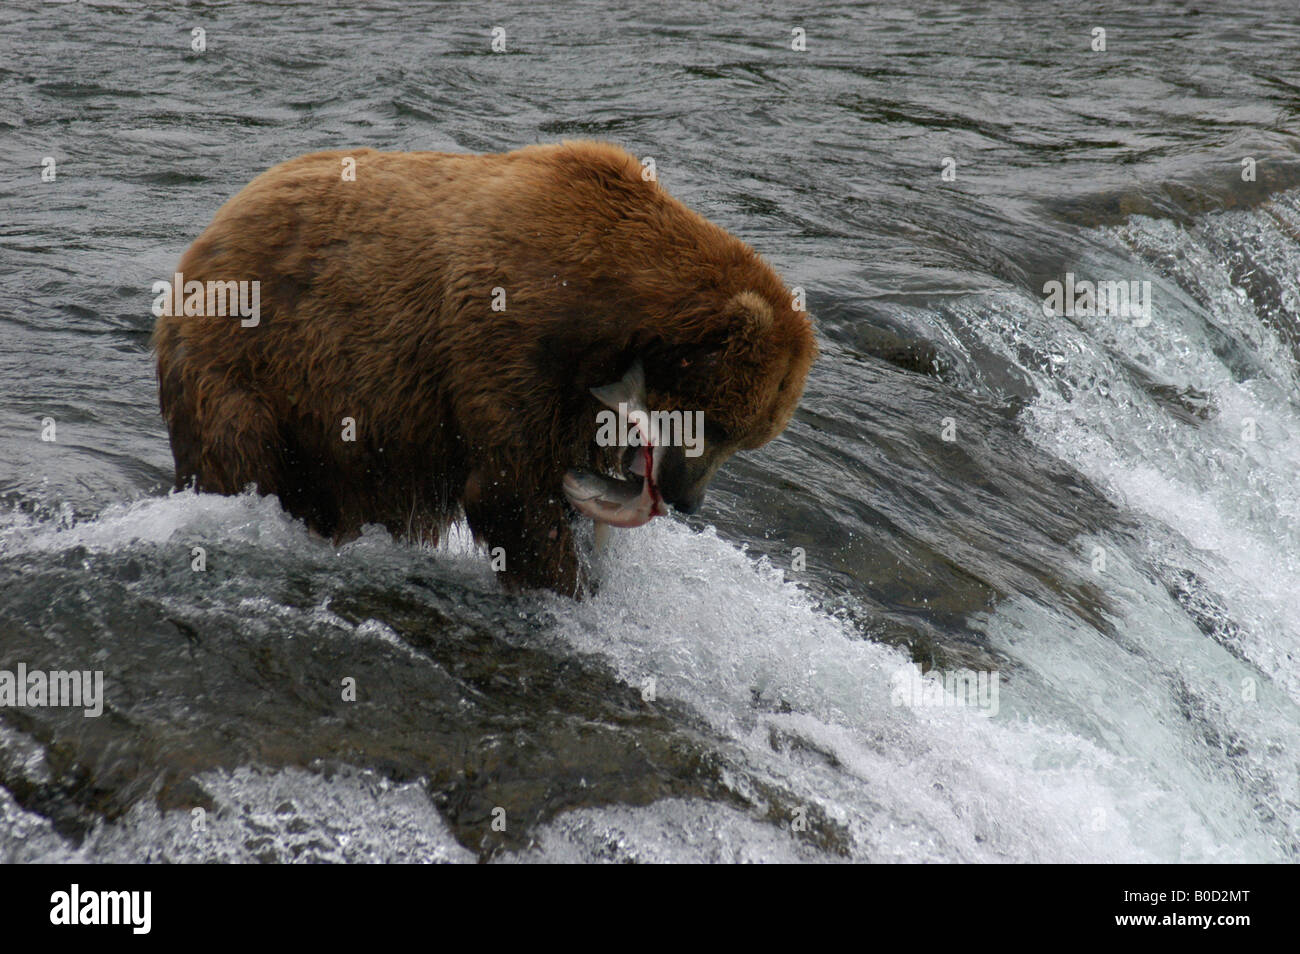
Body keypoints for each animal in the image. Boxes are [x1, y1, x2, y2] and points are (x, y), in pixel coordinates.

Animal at [153, 142, 816, 595]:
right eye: (722, 425)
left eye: (747, 439)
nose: (687, 498)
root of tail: (204, 238)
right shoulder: (510, 334)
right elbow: (511, 485)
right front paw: (567, 584)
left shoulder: (585, 400)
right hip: (257, 365)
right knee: (243, 453)